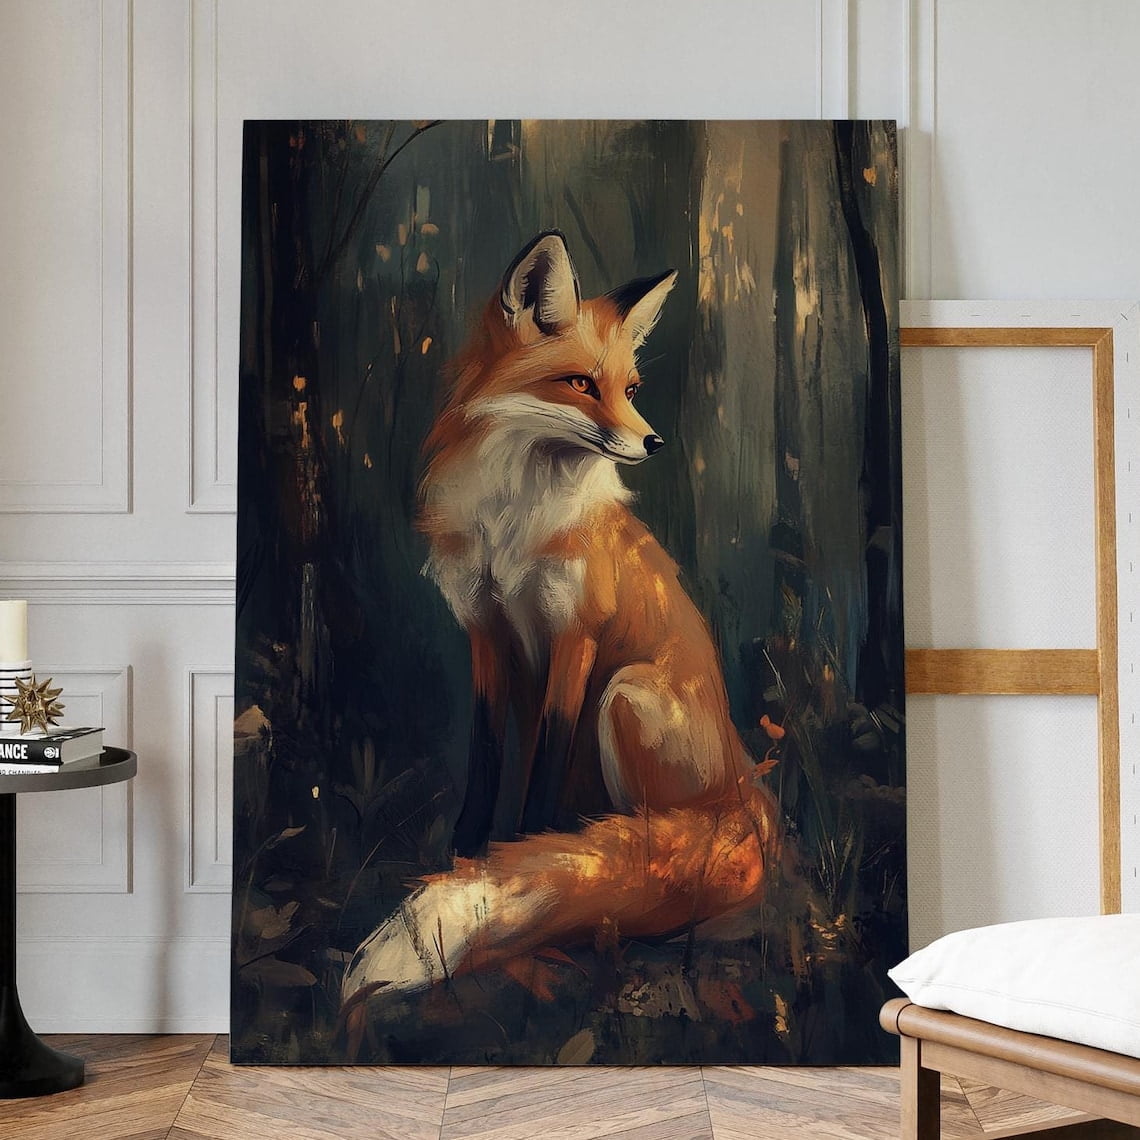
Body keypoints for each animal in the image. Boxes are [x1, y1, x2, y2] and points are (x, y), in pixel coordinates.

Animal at [340, 231, 781, 1010]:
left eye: (630, 390)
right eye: (580, 384)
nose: (654, 441)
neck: (514, 523)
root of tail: (744, 790)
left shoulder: (575, 635)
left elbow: (543, 758)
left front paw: (524, 849)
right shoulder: (486, 633)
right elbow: (488, 753)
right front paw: (469, 850)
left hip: (625, 694)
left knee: (662, 851)